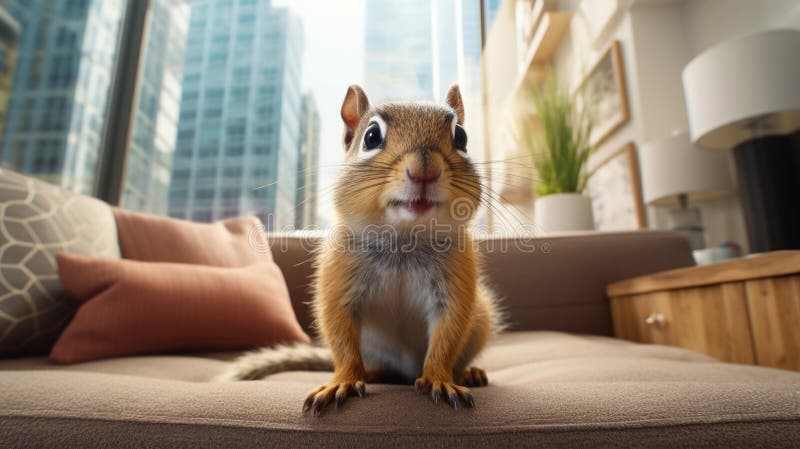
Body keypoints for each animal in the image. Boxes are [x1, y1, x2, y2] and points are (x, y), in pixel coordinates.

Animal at [216, 84, 502, 416]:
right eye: (371, 136)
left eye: (461, 137)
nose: (424, 171)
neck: (403, 241)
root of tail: (406, 373)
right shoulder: (338, 282)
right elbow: (341, 337)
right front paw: (344, 381)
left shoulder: (455, 287)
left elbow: (447, 338)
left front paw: (439, 379)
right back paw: (373, 374)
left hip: (481, 320)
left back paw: (467, 373)